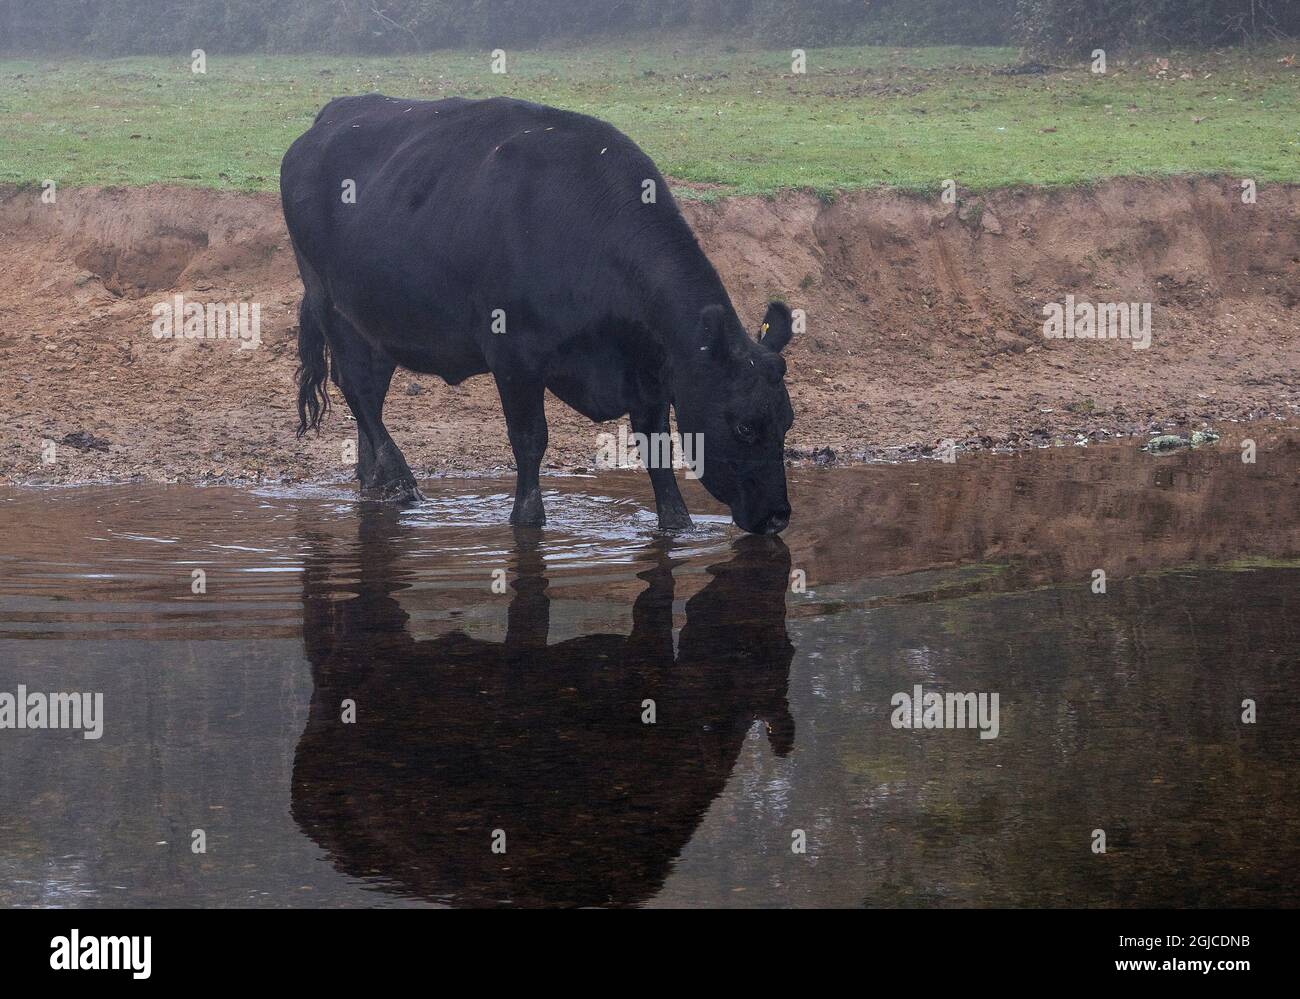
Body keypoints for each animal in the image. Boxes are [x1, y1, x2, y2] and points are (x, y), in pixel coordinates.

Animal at [281, 94, 795, 533]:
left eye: (787, 422)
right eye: (744, 426)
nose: (777, 517)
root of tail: (332, 114)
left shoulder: (650, 368)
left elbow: (657, 446)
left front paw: (677, 524)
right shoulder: (513, 354)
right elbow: (530, 438)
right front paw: (527, 518)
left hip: (375, 319)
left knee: (372, 393)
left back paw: (373, 481)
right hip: (328, 300)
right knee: (357, 388)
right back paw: (398, 479)